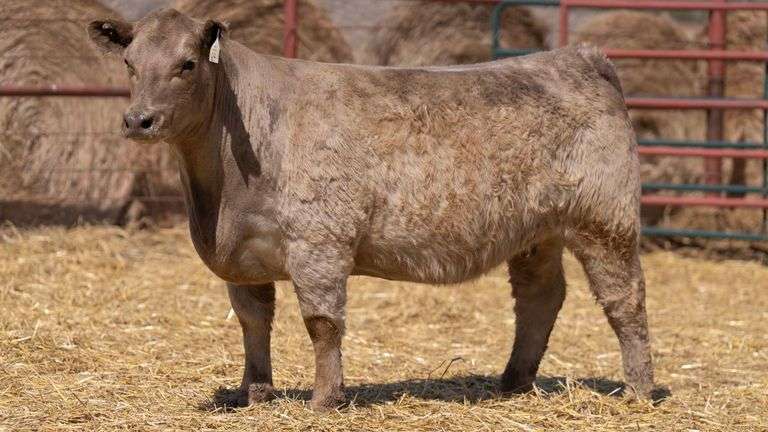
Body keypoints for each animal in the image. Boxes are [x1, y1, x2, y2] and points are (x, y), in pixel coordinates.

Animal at [87, 8, 655, 412]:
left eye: (186, 64)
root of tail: (576, 57)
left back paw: (639, 389)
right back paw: (513, 382)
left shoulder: (319, 243)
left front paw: (323, 399)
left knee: (625, 301)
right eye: (129, 64)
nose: (138, 120)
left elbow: (322, 324)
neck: (219, 198)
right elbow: (253, 323)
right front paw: (253, 391)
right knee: (540, 298)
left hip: (604, 220)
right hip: (538, 232)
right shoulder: (244, 256)